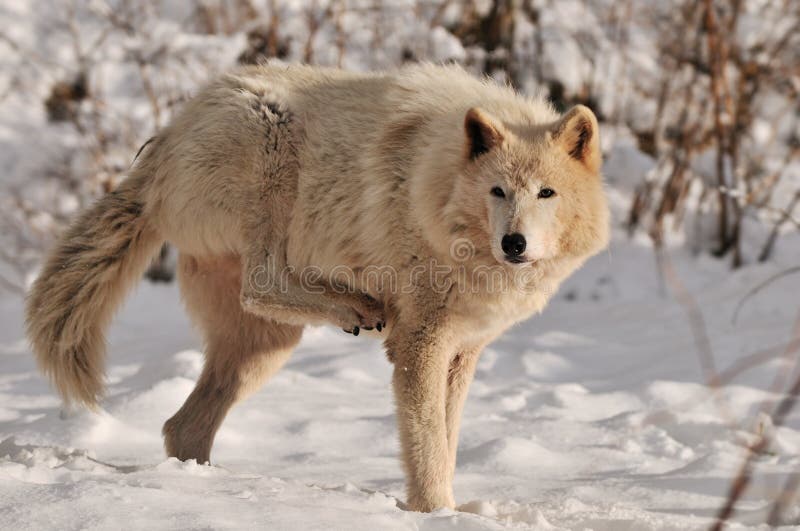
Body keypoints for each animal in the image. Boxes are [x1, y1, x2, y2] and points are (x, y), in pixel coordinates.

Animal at [25, 63, 609, 512]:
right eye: (497, 191)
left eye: (546, 193)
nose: (514, 243)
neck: (436, 188)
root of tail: (164, 143)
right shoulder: (420, 344)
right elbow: (427, 442)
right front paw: (436, 512)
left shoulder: (463, 352)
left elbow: (446, 441)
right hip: (273, 150)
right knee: (261, 279)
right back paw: (356, 305)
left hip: (264, 349)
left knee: (181, 427)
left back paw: (204, 486)